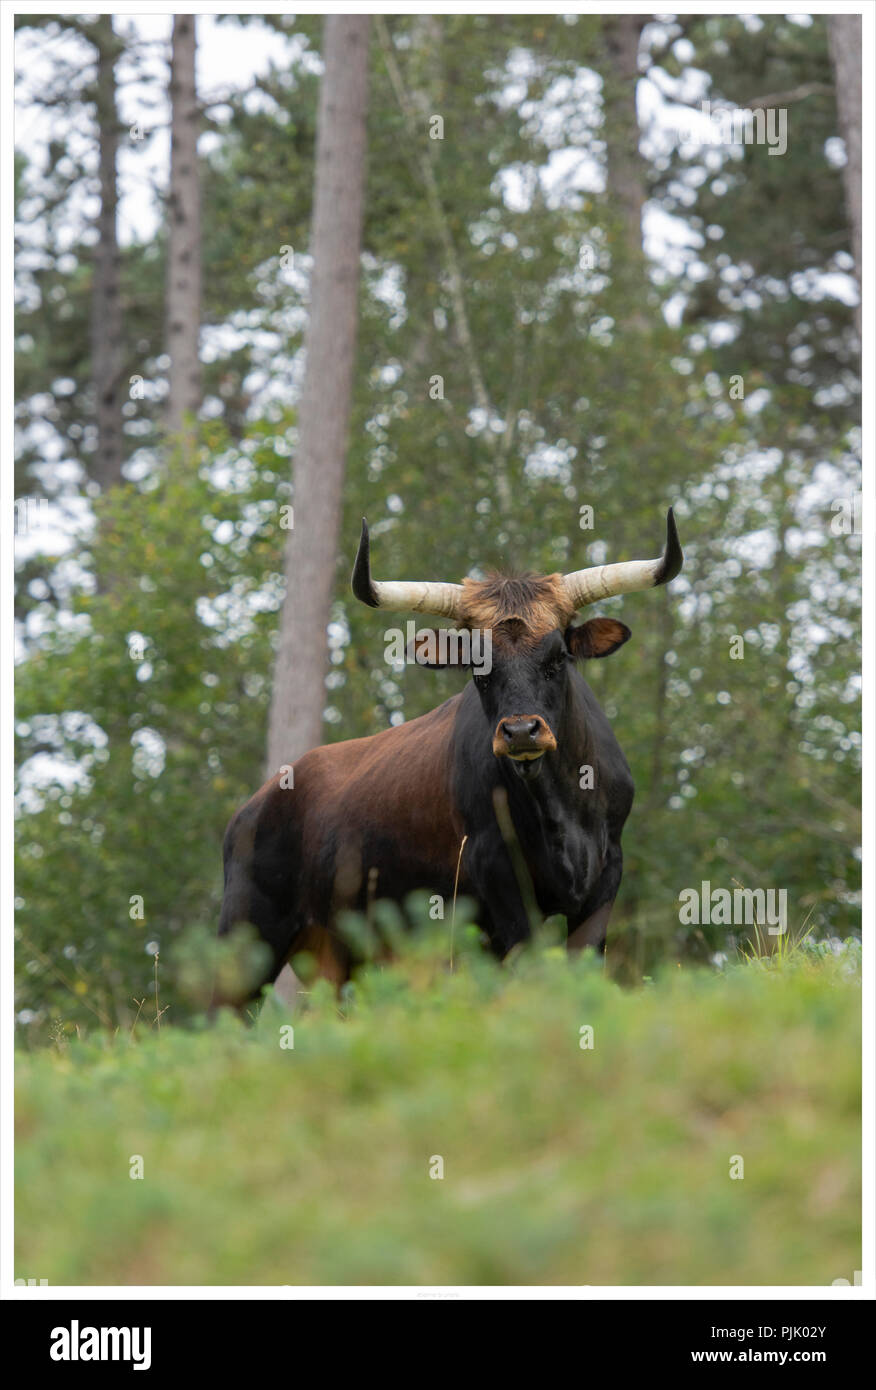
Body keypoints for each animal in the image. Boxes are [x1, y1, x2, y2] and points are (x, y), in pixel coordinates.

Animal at [216, 509, 683, 1004]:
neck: (561, 810)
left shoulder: (605, 878)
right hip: (247, 941)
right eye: (479, 665)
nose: (521, 731)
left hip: (334, 956)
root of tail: (255, 804)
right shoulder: (496, 878)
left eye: (558, 657)